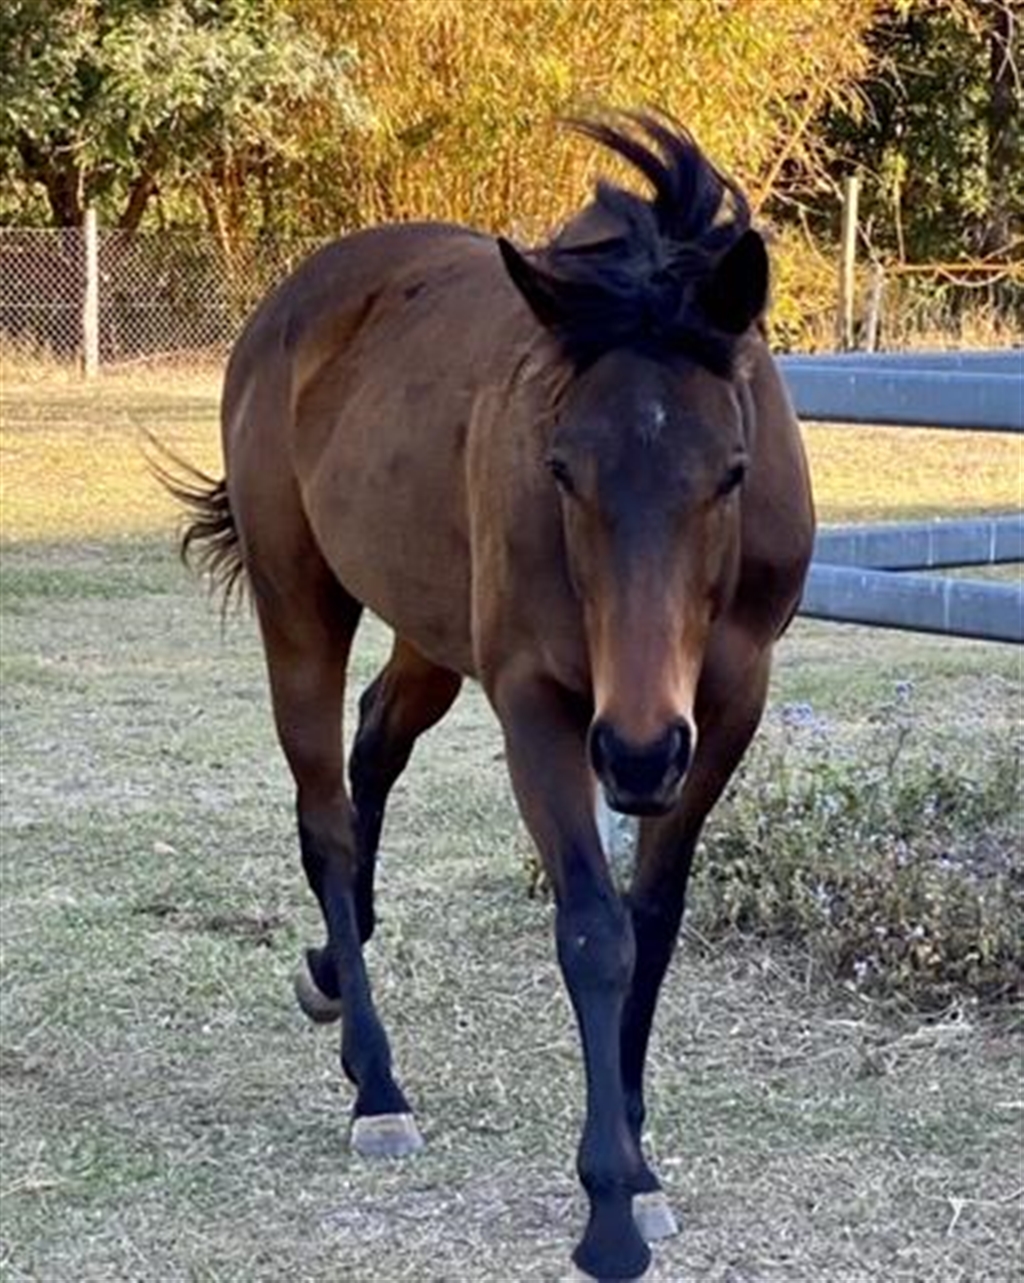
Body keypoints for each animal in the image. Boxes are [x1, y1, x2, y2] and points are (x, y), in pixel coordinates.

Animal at [170, 112, 815, 1281]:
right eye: (561, 467)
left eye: (732, 471)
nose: (638, 752)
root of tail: (299, 299)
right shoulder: (539, 707)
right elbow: (594, 931)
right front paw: (608, 1207)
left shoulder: (726, 708)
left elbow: (653, 921)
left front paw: (638, 1153)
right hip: (302, 607)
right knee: (326, 814)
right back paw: (376, 1082)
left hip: (430, 635)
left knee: (374, 742)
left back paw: (332, 971)